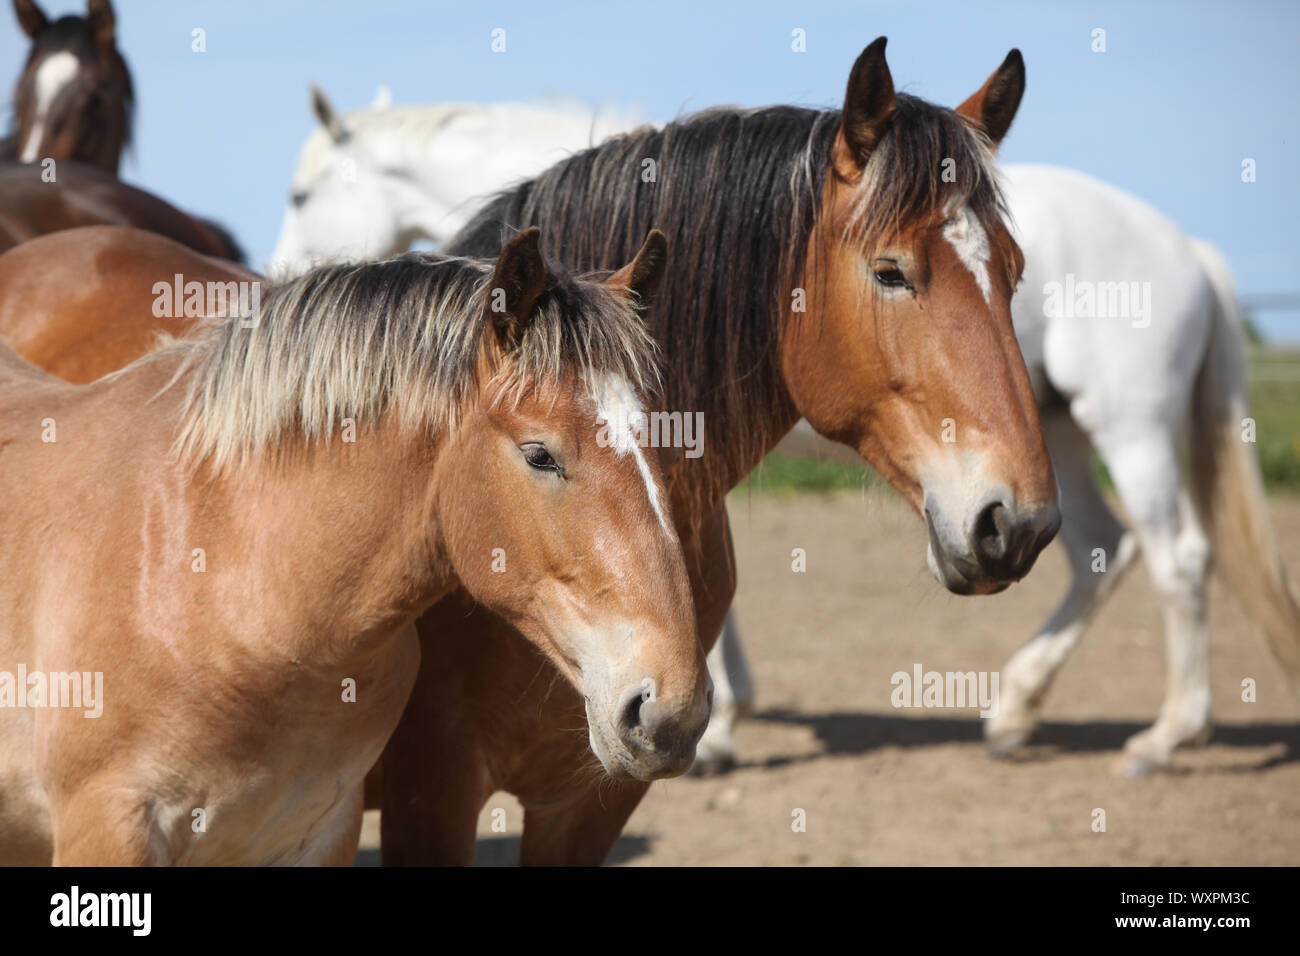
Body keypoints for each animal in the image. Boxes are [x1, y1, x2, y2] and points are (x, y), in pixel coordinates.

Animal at [702, 164, 1300, 777]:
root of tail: (1190, 249)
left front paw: (715, 731)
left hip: (1132, 433)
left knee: (1178, 558)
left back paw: (1166, 737)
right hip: (1054, 444)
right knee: (1102, 549)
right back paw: (1016, 707)